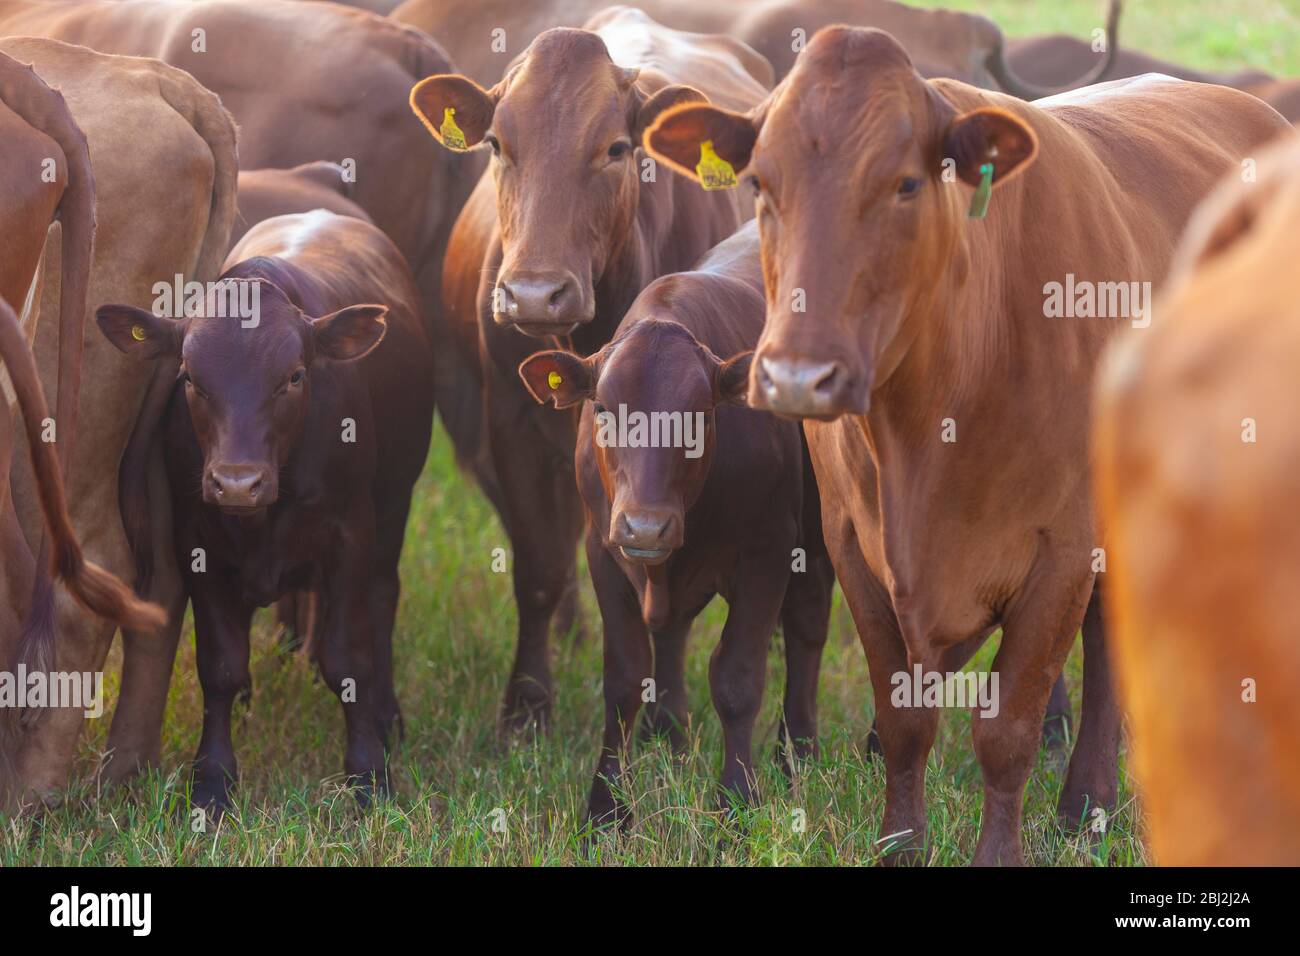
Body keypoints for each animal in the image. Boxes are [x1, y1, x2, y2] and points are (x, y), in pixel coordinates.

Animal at [95, 209, 434, 810]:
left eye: (294, 376)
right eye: (189, 378)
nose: (237, 483)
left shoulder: (351, 531)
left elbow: (348, 658)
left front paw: (369, 775)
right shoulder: (196, 540)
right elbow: (221, 664)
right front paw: (212, 780)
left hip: (394, 507)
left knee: (382, 597)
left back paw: (386, 715)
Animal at [412, 10, 765, 731]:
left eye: (616, 148)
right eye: (496, 143)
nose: (533, 294)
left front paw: (668, 713)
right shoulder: (510, 421)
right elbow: (540, 567)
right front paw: (526, 706)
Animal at [518, 222, 833, 825]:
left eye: (701, 416)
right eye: (603, 410)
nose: (646, 528)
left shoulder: (768, 552)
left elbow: (737, 680)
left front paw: (736, 804)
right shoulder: (602, 550)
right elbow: (623, 680)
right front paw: (606, 810)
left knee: (808, 629)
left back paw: (798, 756)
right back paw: (669, 739)